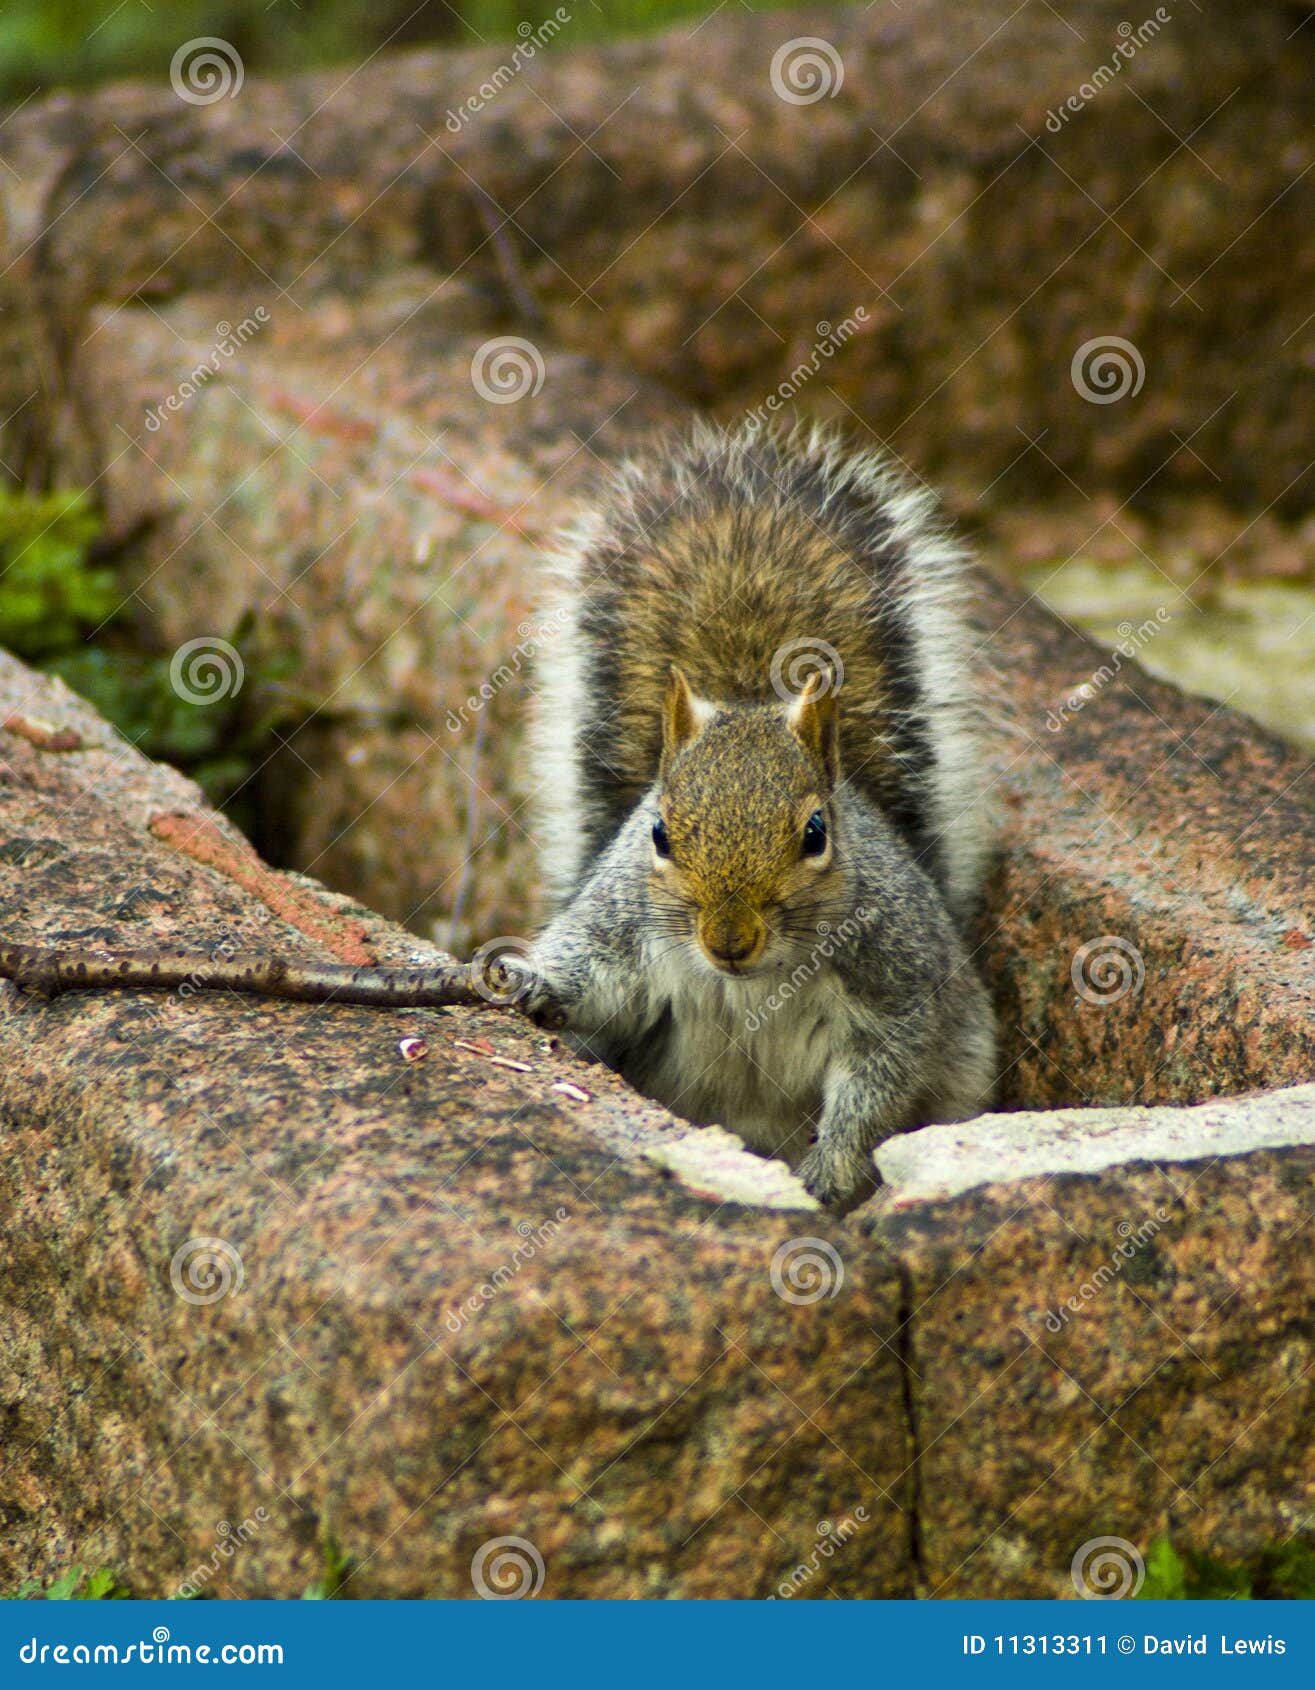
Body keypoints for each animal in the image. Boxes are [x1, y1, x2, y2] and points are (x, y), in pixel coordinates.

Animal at [521, 419, 997, 1210]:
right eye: (658, 833)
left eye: (815, 835)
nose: (729, 940)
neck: (756, 981)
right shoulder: (622, 935)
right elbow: (590, 982)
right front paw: (532, 983)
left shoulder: (896, 985)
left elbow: (881, 1080)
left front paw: (833, 1168)